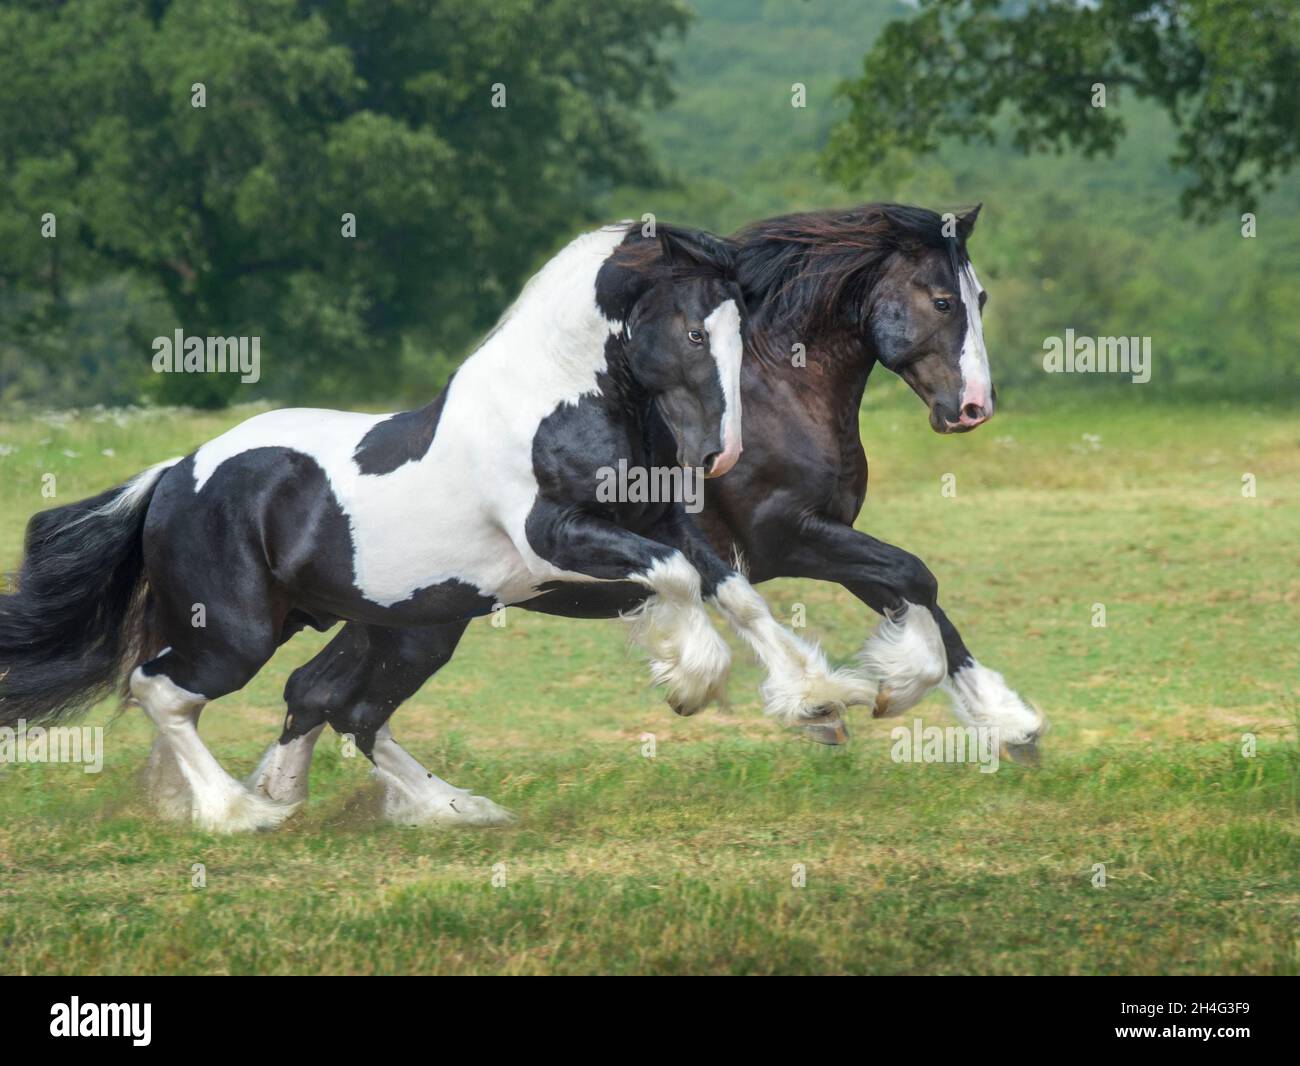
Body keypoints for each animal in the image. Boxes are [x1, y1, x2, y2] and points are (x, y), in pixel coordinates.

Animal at [0, 221, 875, 832]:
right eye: (695, 331)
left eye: (741, 333)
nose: (719, 455)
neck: (555, 403)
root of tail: (175, 476)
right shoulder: (554, 539)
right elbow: (678, 580)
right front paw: (691, 681)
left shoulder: (661, 522)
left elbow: (733, 590)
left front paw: (820, 700)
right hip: (236, 632)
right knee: (165, 690)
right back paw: (238, 813)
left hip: (409, 625)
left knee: (342, 706)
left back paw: (442, 806)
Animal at [241, 203, 1047, 807]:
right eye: (942, 300)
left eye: (979, 299)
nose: (973, 408)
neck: (774, 393)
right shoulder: (789, 536)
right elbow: (910, 578)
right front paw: (857, 697)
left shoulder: (818, 537)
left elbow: (913, 594)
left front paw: (1008, 726)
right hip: (415, 623)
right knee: (328, 697)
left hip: (411, 621)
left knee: (322, 694)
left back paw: (287, 802)